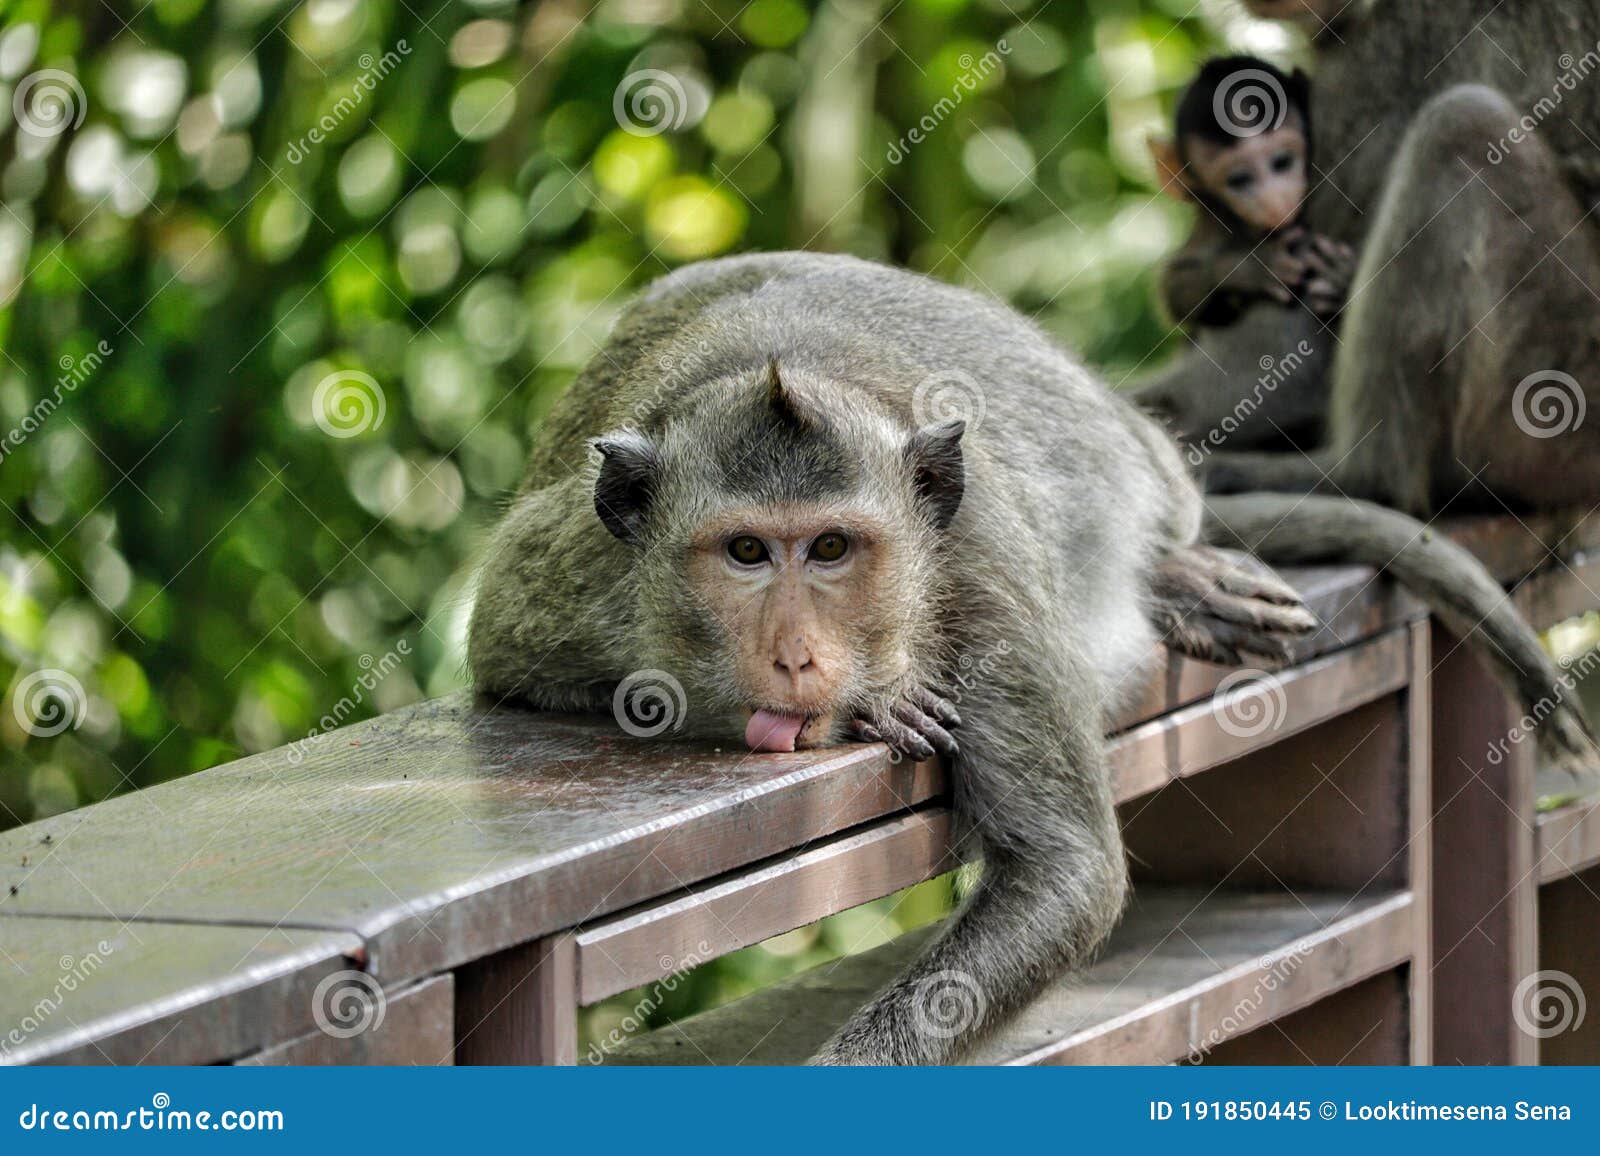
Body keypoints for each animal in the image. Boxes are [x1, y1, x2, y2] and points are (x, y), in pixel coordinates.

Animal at [469, 251, 1595, 1065]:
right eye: (747, 553)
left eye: (830, 549)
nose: (793, 656)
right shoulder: (570, 568)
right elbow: (502, 657)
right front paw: (874, 703)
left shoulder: (981, 567)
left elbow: (1066, 871)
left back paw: (1173, 573)